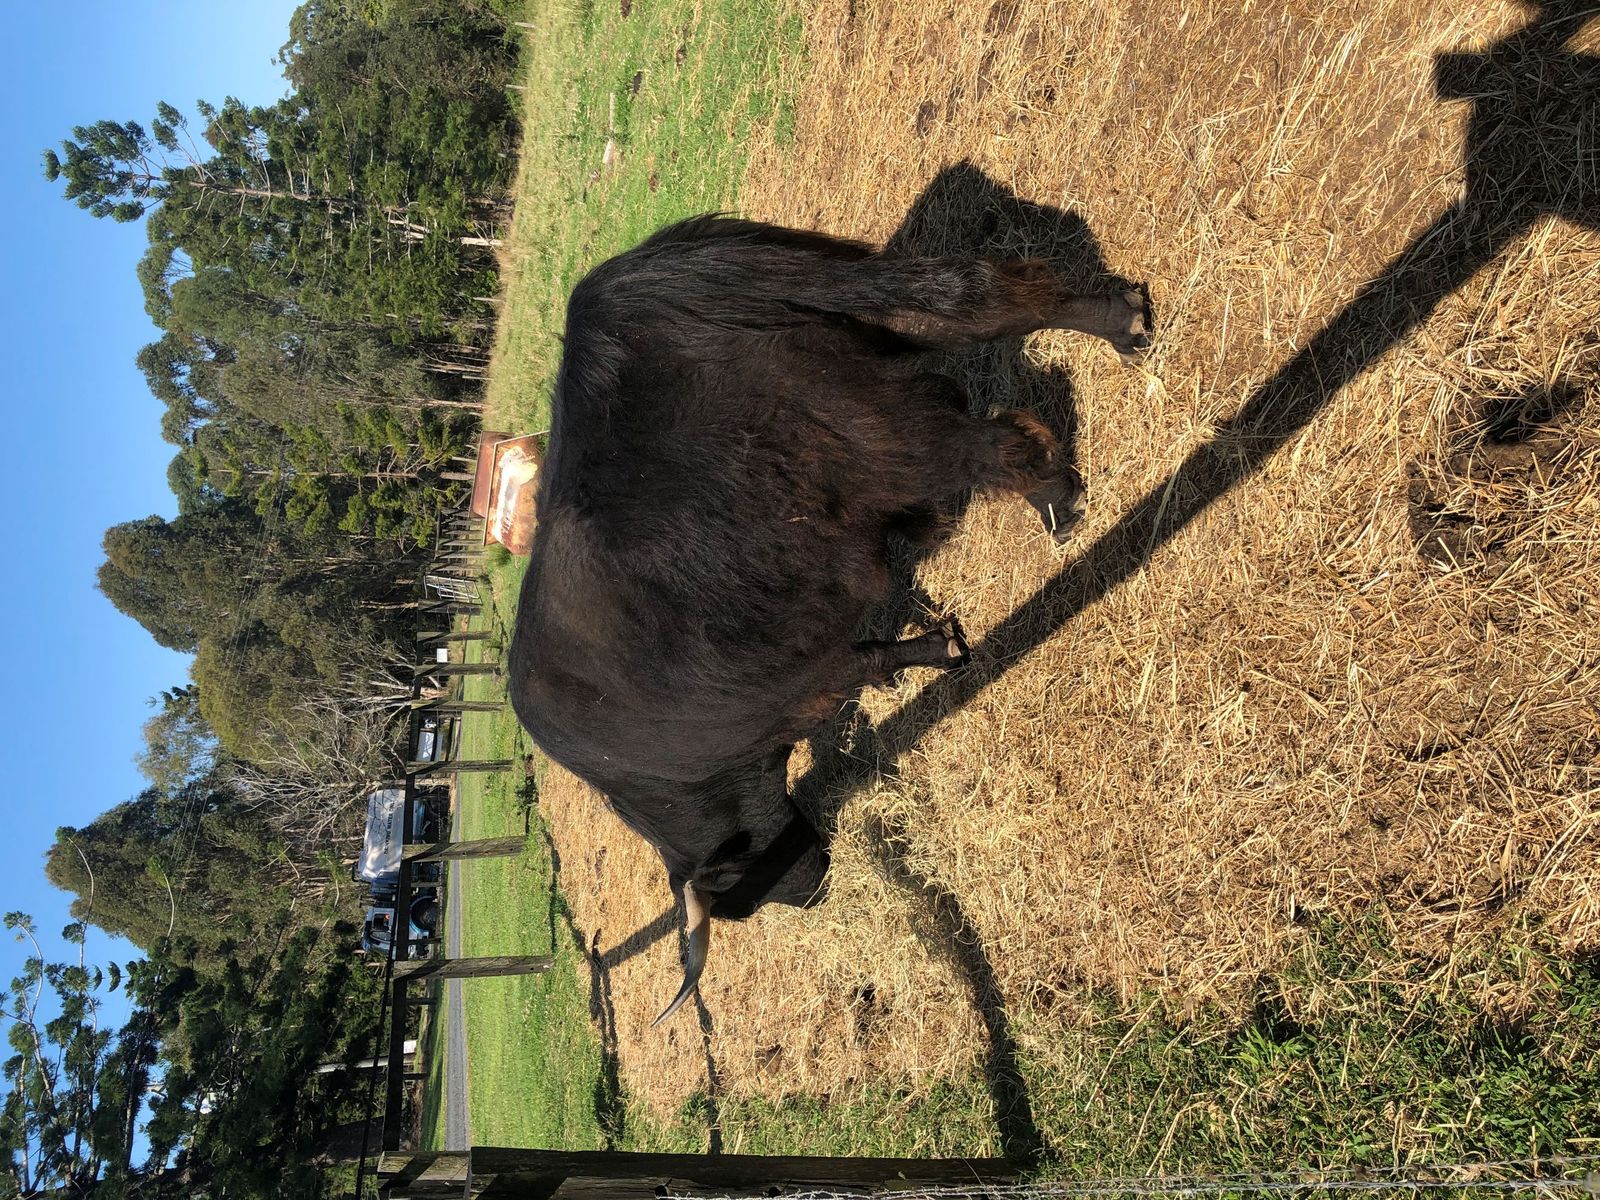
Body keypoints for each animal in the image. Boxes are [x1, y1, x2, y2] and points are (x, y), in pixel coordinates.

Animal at [507, 215, 1149, 1023]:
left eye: (742, 890)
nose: (814, 891)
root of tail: (617, 297)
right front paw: (937, 643)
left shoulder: (804, 678)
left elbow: (871, 657)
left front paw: (939, 649)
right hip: (878, 323)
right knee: (987, 299)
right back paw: (1123, 321)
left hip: (879, 434)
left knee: (995, 440)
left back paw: (1058, 496)